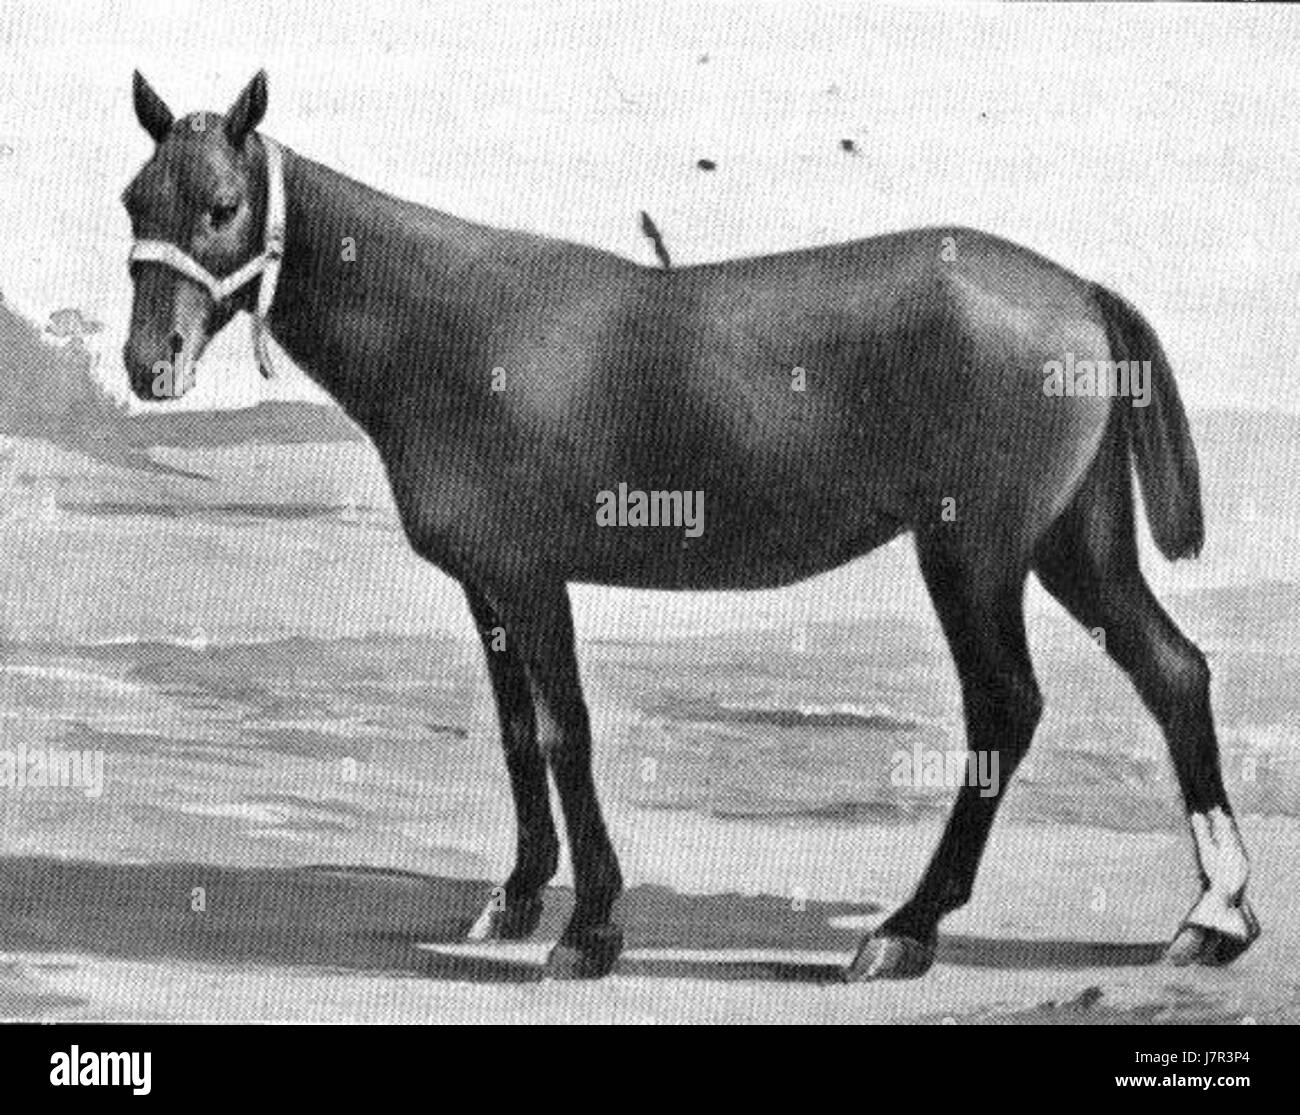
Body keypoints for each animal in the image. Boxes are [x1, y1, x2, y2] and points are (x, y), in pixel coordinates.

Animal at [121, 71, 1259, 980]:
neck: (457, 323)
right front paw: (517, 896)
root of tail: (1081, 292)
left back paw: (907, 927)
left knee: (1005, 708)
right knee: (1172, 670)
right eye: (134, 198)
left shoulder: (530, 579)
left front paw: (590, 928)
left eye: (223, 204)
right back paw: (1213, 916)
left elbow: (563, 729)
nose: (149, 364)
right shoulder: (486, 583)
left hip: (973, 554)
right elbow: (513, 731)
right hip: (1073, 544)